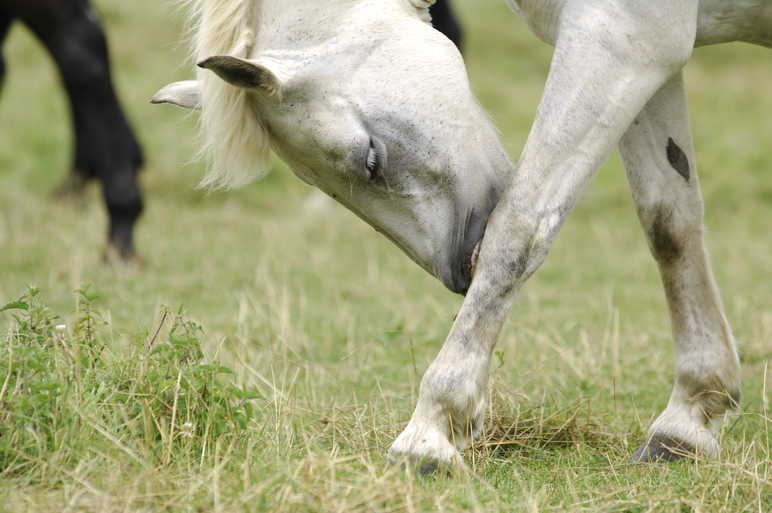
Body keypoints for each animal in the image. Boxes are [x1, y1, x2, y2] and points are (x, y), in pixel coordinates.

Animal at [153, 0, 770, 470]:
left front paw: (430, 432)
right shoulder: (653, 56)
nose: (455, 271)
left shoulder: (621, 38)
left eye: (371, 159)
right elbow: (669, 220)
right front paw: (689, 418)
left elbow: (519, 228)